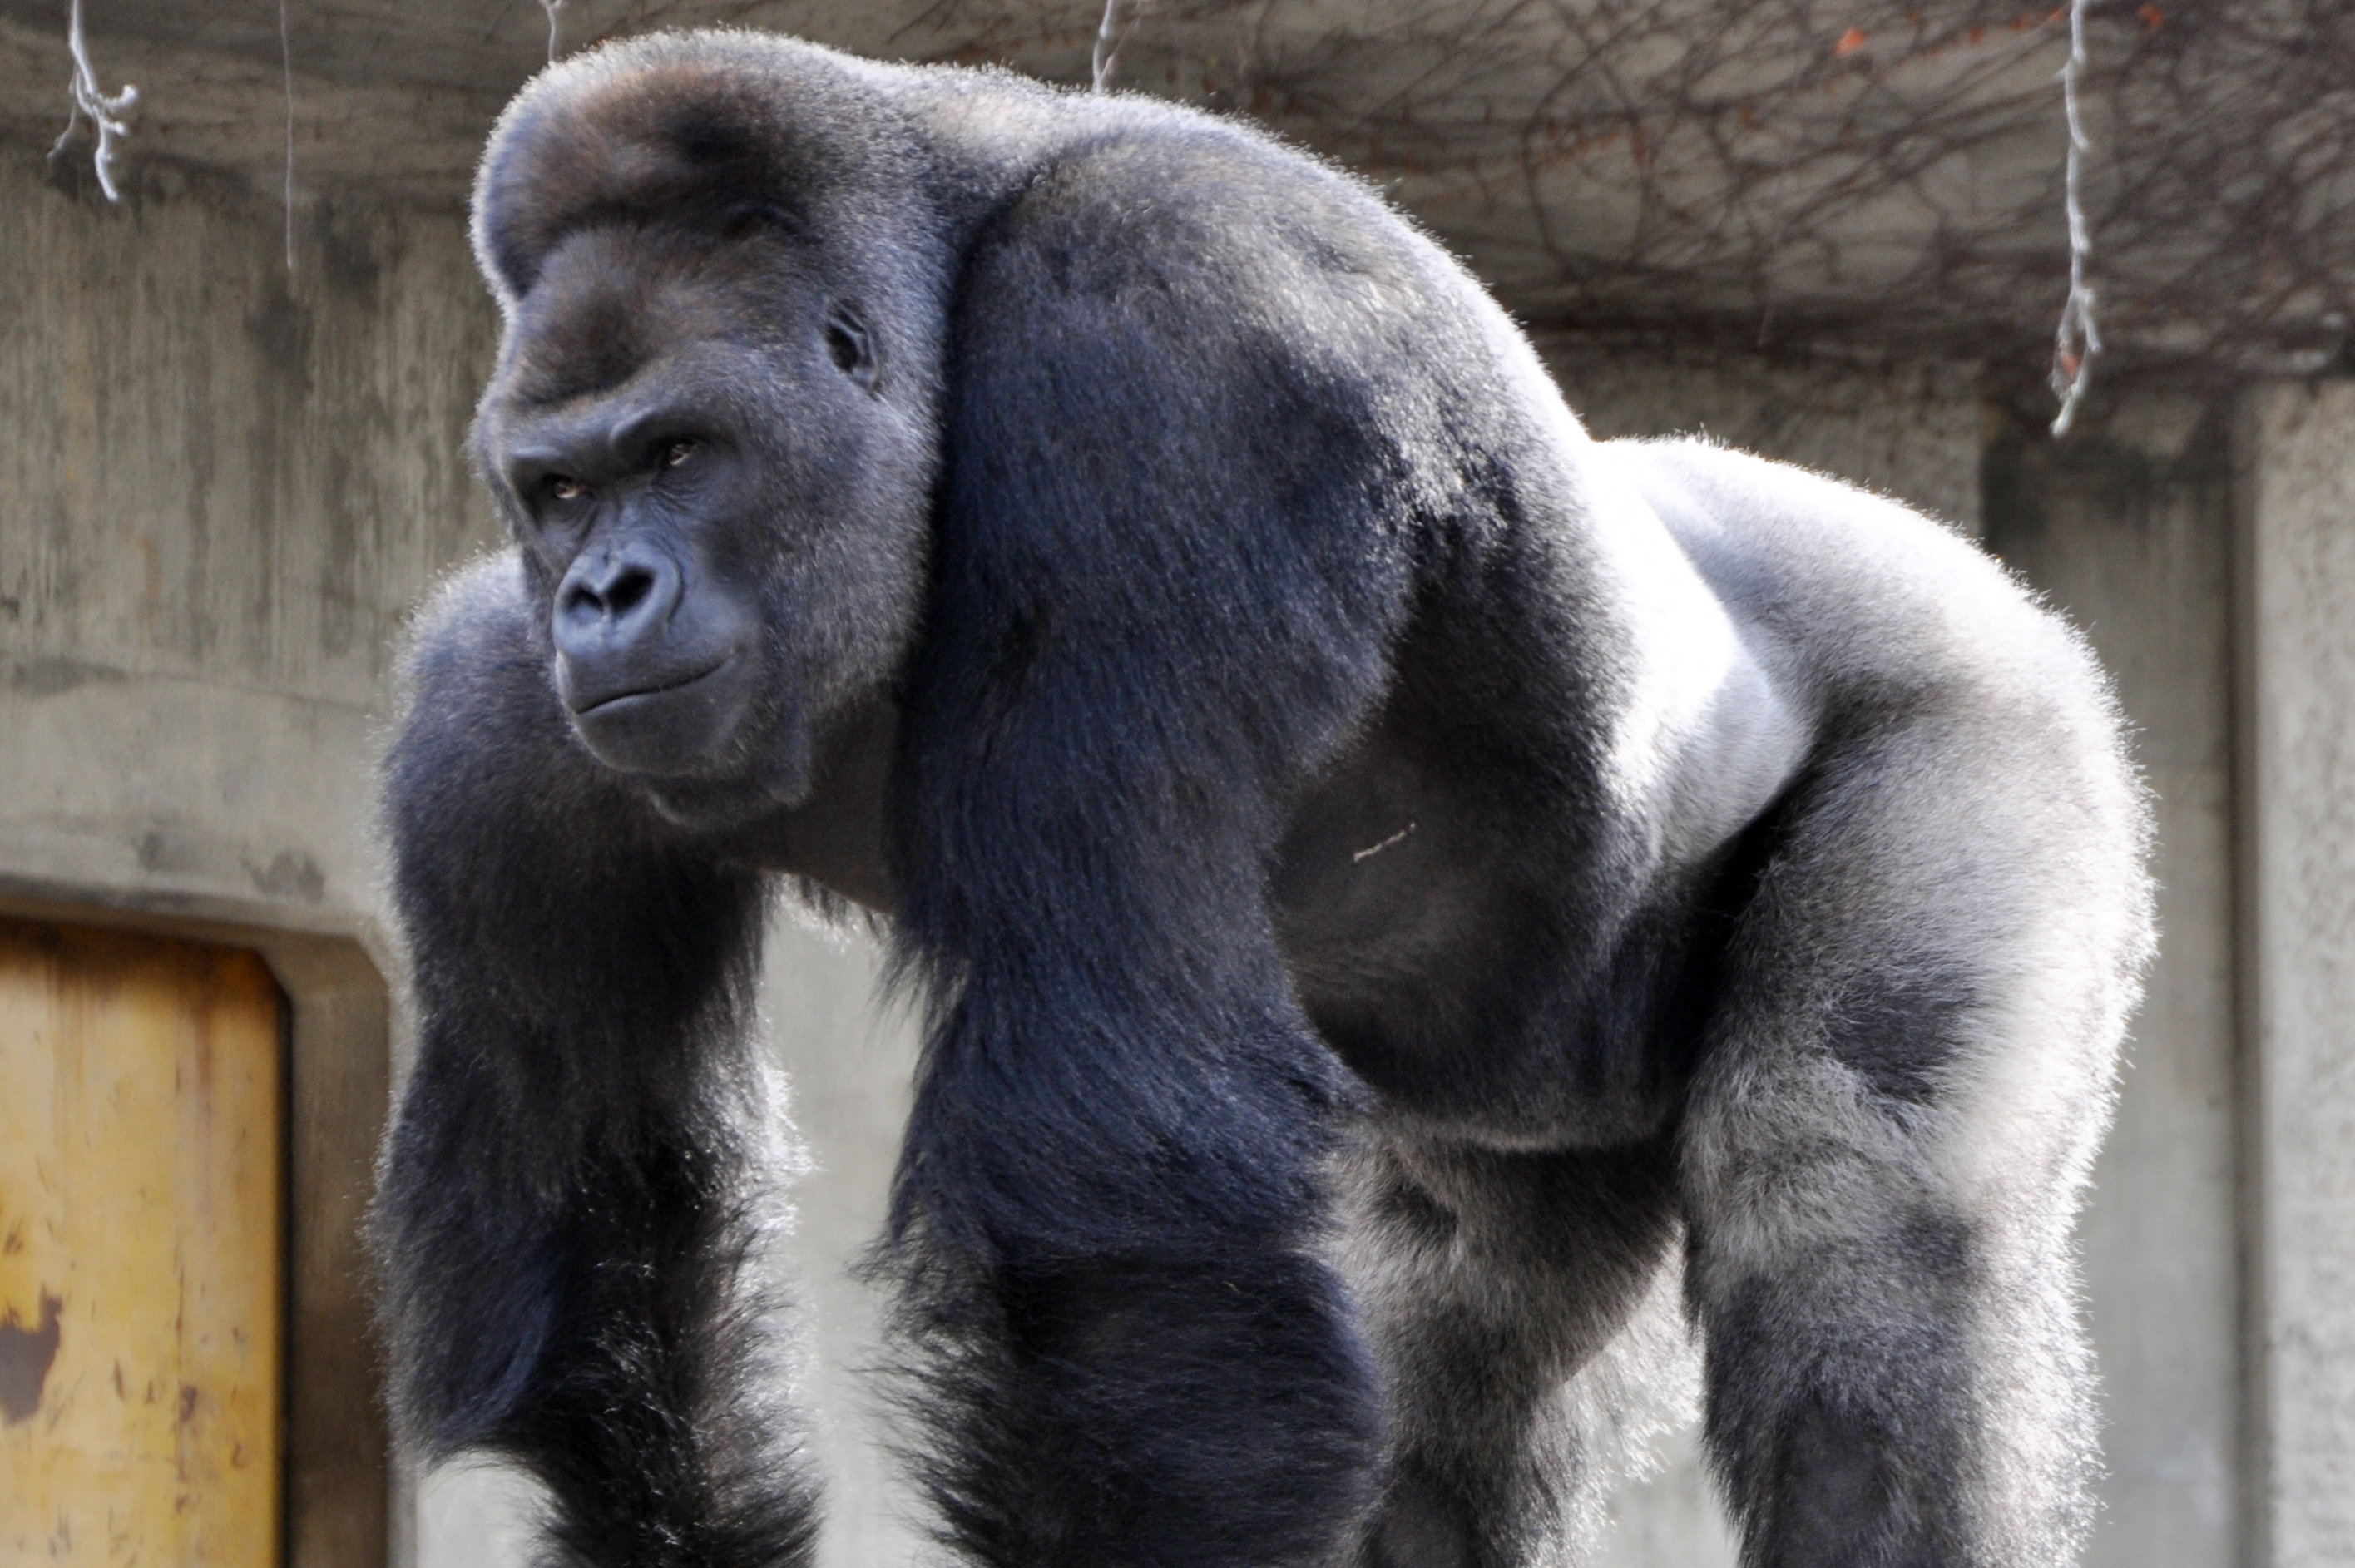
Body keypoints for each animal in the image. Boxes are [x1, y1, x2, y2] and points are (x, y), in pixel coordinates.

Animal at [371, 29, 2152, 1568]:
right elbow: (612, 1228)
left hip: (1995, 703)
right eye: (560, 486)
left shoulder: (1162, 352)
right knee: (1456, 1333)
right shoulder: (496, 727)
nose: (603, 594)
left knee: (1854, 1204)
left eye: (680, 452)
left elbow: (1113, 1200)